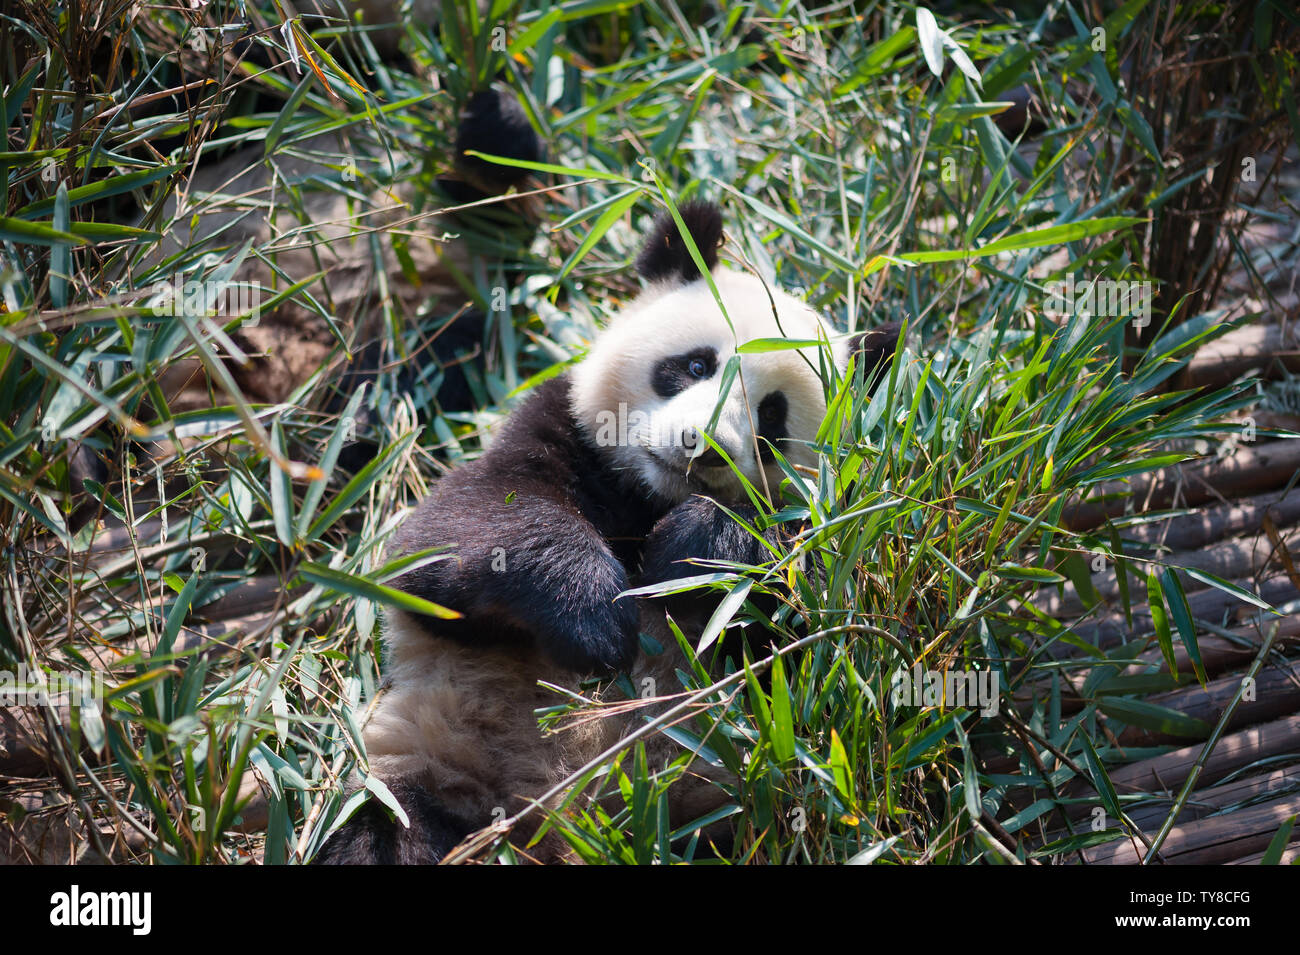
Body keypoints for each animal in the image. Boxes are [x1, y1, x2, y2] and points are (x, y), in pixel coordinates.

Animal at [313, 200, 901, 864]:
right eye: (696, 365)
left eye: (772, 415)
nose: (703, 448)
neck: (647, 495)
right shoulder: (558, 427)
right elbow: (451, 537)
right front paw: (596, 622)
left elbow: (816, 591)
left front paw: (686, 555)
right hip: (433, 753)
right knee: (385, 828)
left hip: (716, 813)